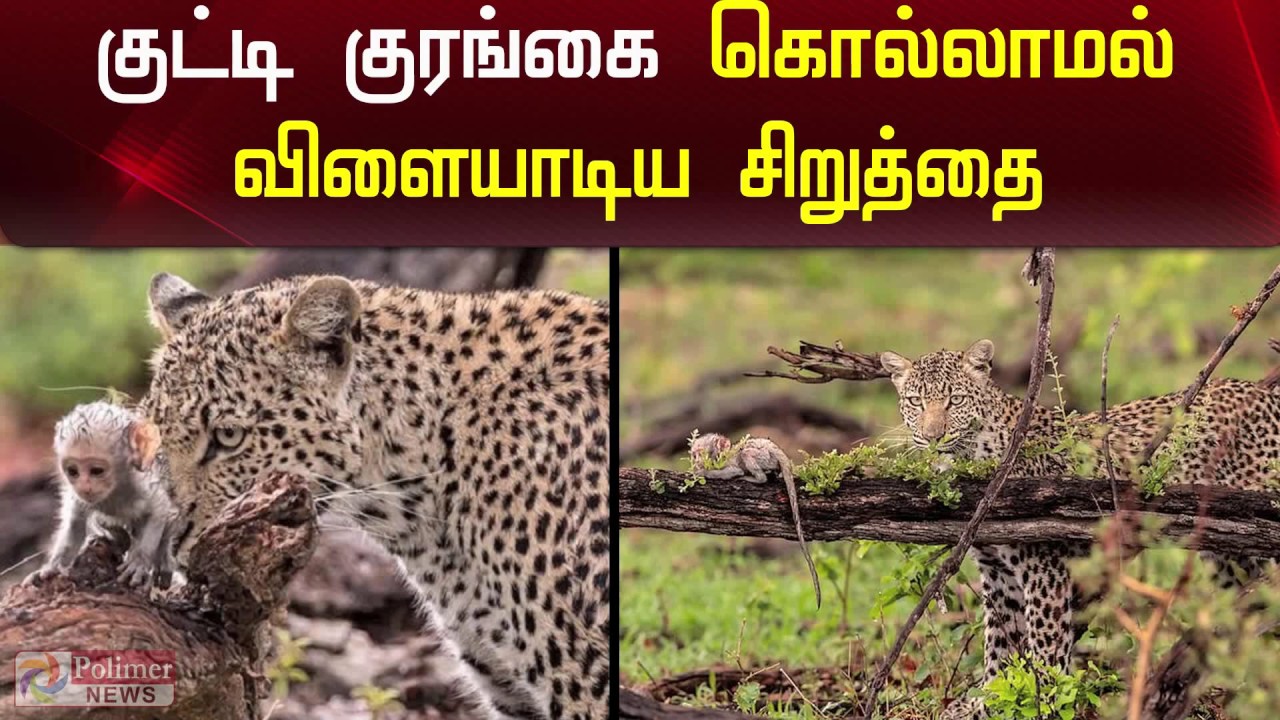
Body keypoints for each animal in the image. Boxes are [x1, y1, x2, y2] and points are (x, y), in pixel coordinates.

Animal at [880, 339, 1280, 718]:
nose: (933, 438)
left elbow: (1045, 646)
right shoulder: (998, 574)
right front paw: (988, 703)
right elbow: (1001, 646)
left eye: (955, 400)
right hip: (1228, 558)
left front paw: (1046, 702)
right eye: (916, 402)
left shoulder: (1045, 567)